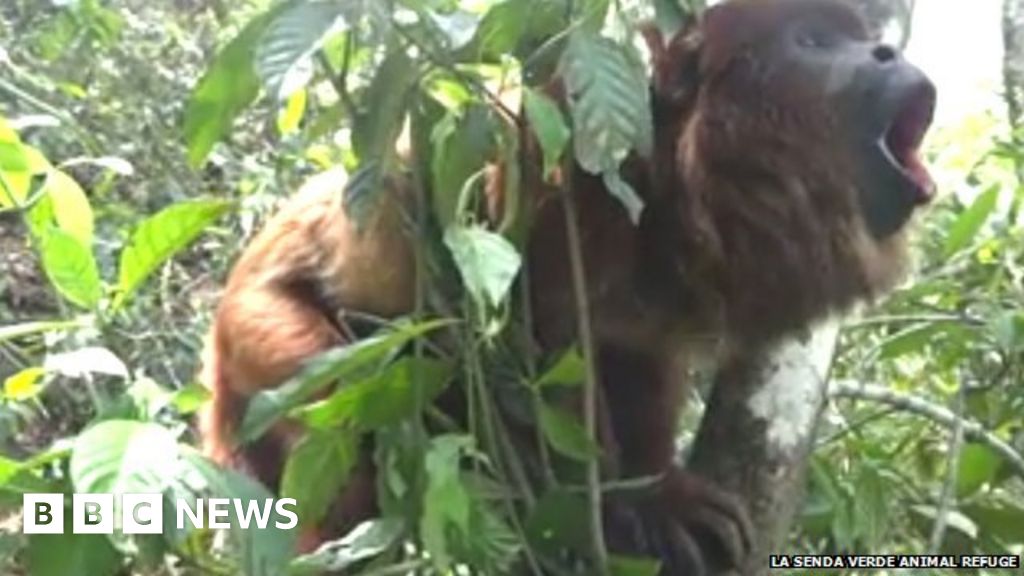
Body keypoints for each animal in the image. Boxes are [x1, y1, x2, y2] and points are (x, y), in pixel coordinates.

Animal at [197, 0, 936, 573]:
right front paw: (622, 509)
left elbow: (636, 360)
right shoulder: (559, 153)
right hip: (264, 338)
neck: (675, 174)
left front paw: (657, 492)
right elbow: (530, 346)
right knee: (342, 433)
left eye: (858, 35)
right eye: (810, 42)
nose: (887, 52)